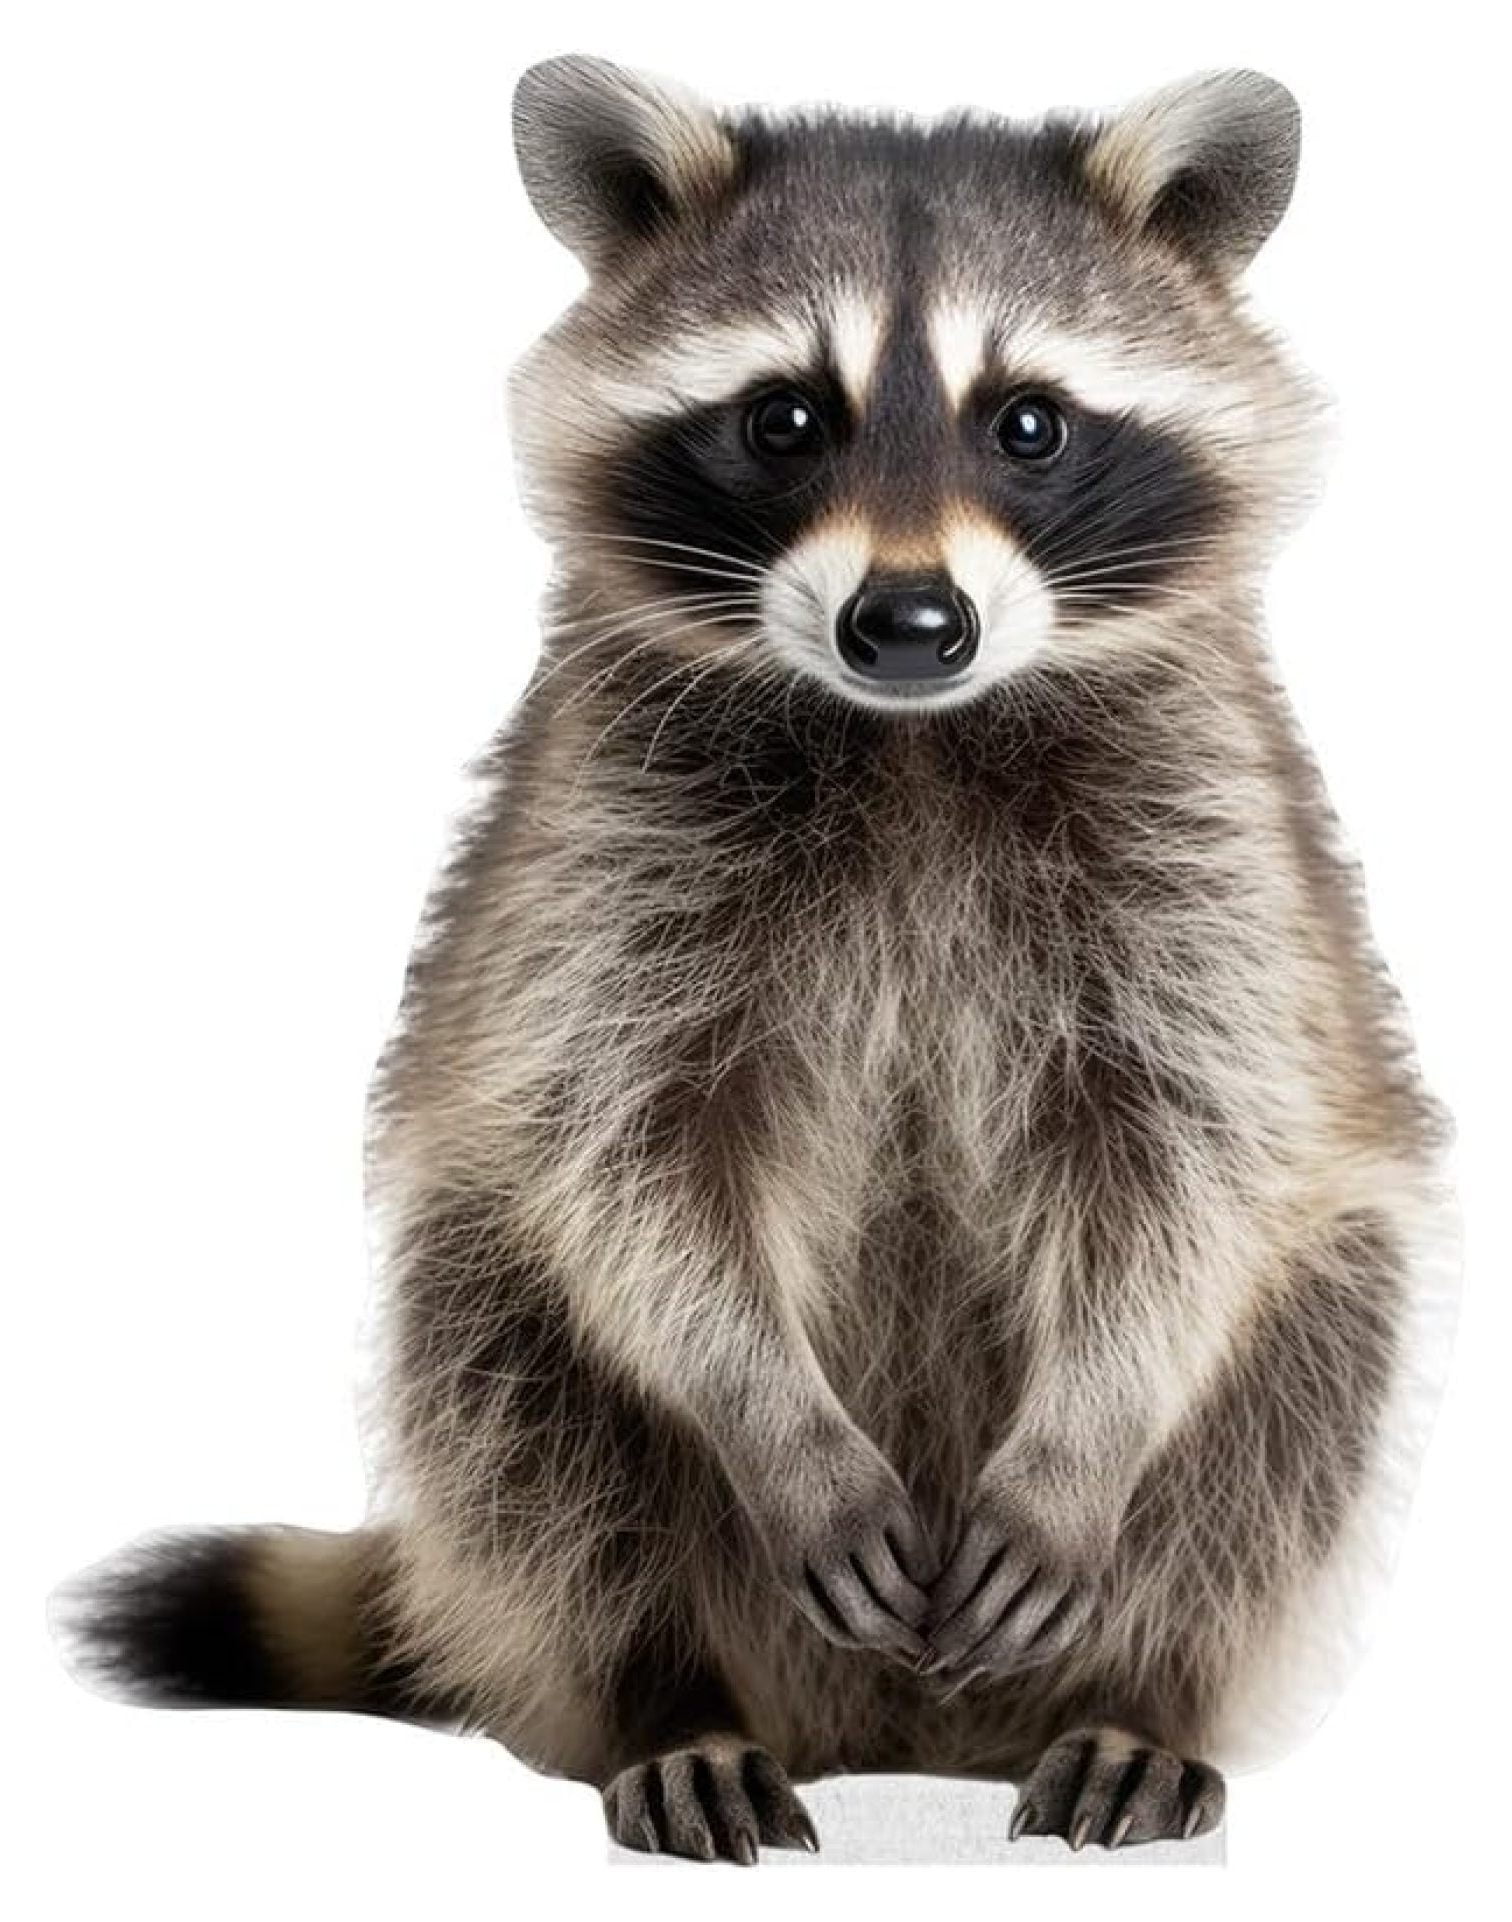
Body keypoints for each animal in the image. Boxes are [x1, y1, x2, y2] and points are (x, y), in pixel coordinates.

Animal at [62, 57, 1453, 1861]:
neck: (912, 733)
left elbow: (1196, 1155)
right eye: (785, 418)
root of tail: (896, 1730)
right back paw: (668, 1701)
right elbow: (619, 1151)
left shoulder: (1208, 846)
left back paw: (1143, 1696)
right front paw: (779, 1432)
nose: (910, 623)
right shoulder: (601, 847)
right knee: (504, 1362)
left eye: (1028, 422)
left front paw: (1078, 1450)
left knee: (1316, 1341)